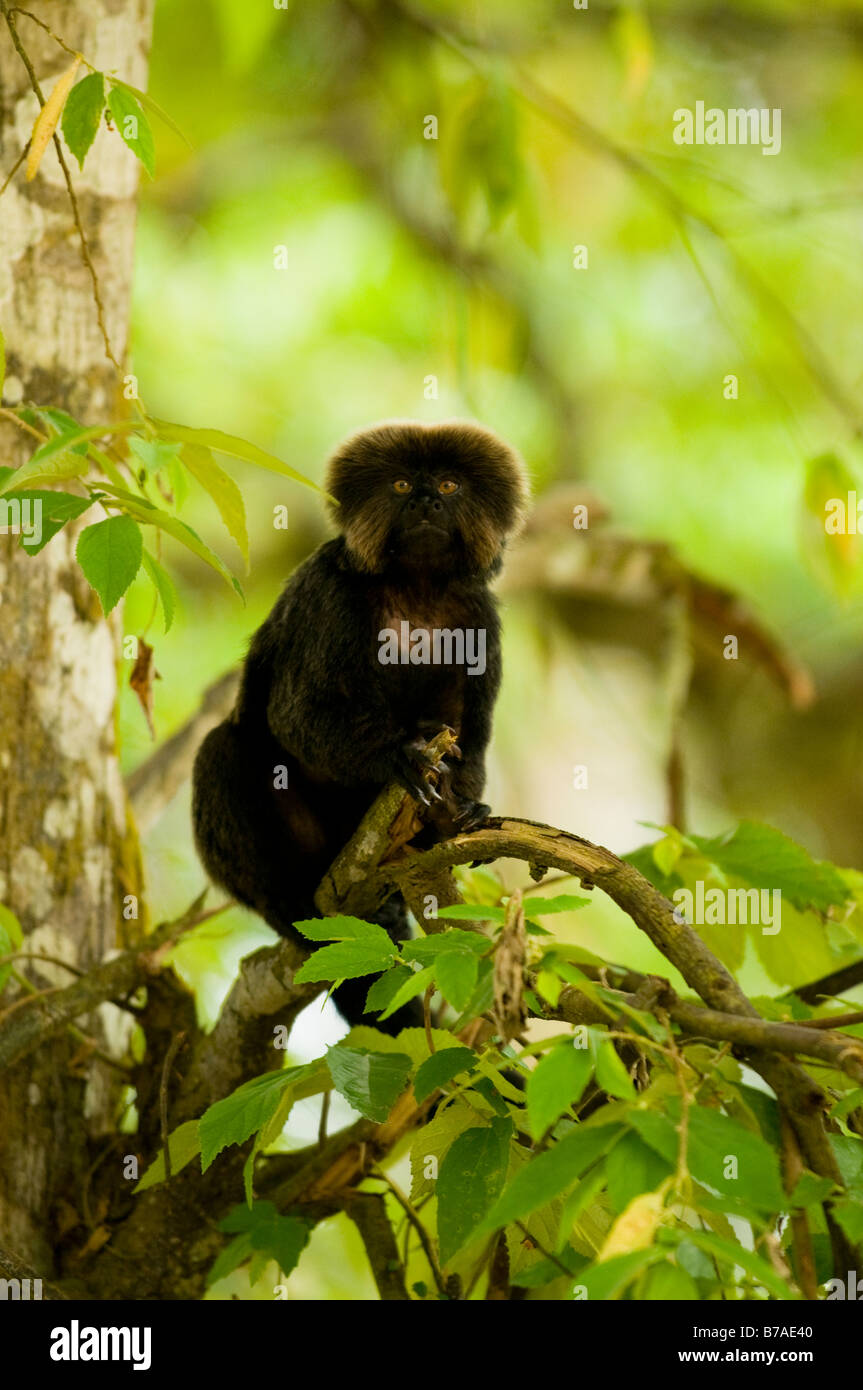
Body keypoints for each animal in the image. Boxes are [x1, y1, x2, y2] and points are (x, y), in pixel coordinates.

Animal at [191, 420, 529, 1031]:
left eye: (448, 485)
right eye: (401, 486)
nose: (425, 502)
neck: (418, 590)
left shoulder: (480, 617)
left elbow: (468, 736)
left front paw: (455, 817)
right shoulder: (327, 590)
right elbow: (294, 713)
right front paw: (398, 758)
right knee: (222, 750)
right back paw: (290, 906)